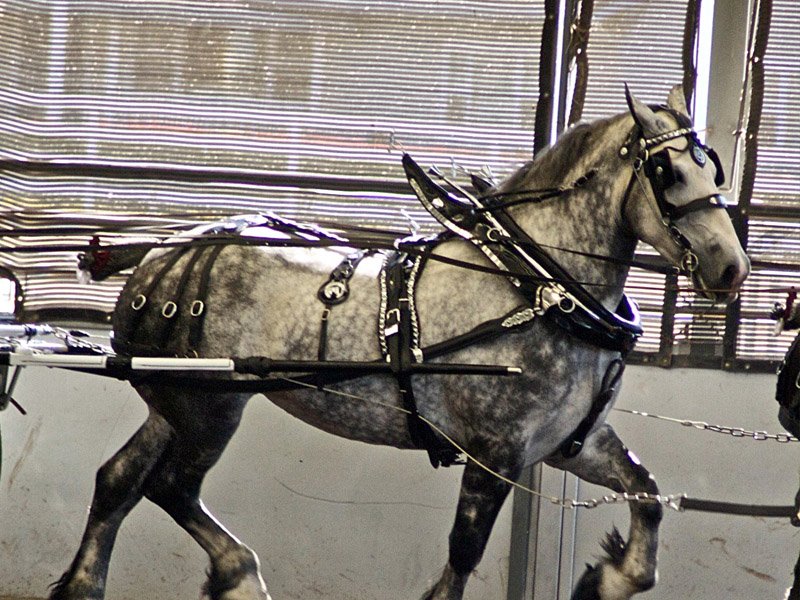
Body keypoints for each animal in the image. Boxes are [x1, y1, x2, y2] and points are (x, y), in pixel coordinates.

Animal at [50, 85, 749, 600]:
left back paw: (85, 586)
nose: (731, 268)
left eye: (710, 166)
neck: (537, 284)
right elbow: (464, 553)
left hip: (175, 405)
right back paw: (239, 575)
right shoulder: (496, 450)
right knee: (171, 488)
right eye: (665, 171)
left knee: (120, 479)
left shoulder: (570, 442)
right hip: (210, 407)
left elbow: (647, 496)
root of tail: (160, 255)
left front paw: (609, 579)